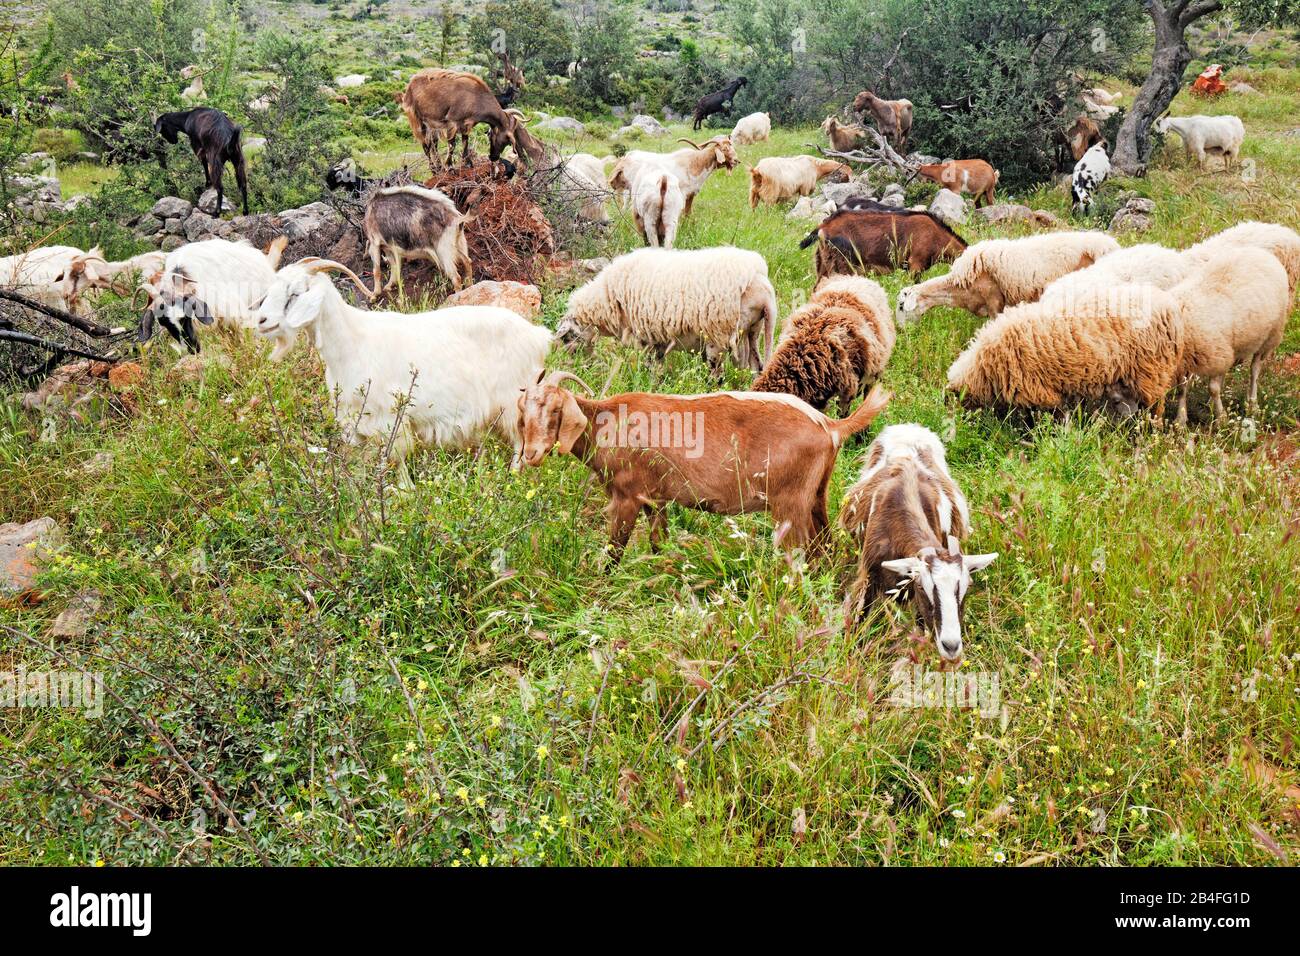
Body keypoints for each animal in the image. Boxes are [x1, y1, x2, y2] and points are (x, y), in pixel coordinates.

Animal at [517, 372, 890, 560]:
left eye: (555, 410)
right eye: (524, 412)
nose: (532, 453)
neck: (607, 421)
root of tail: (829, 425)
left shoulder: (627, 496)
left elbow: (614, 550)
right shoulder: (655, 498)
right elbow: (659, 541)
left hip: (790, 503)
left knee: (800, 553)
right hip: (816, 496)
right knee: (824, 545)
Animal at [840, 424, 996, 661]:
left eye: (966, 586)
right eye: (923, 586)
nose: (951, 645)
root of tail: (909, 427)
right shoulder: (868, 576)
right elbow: (859, 617)